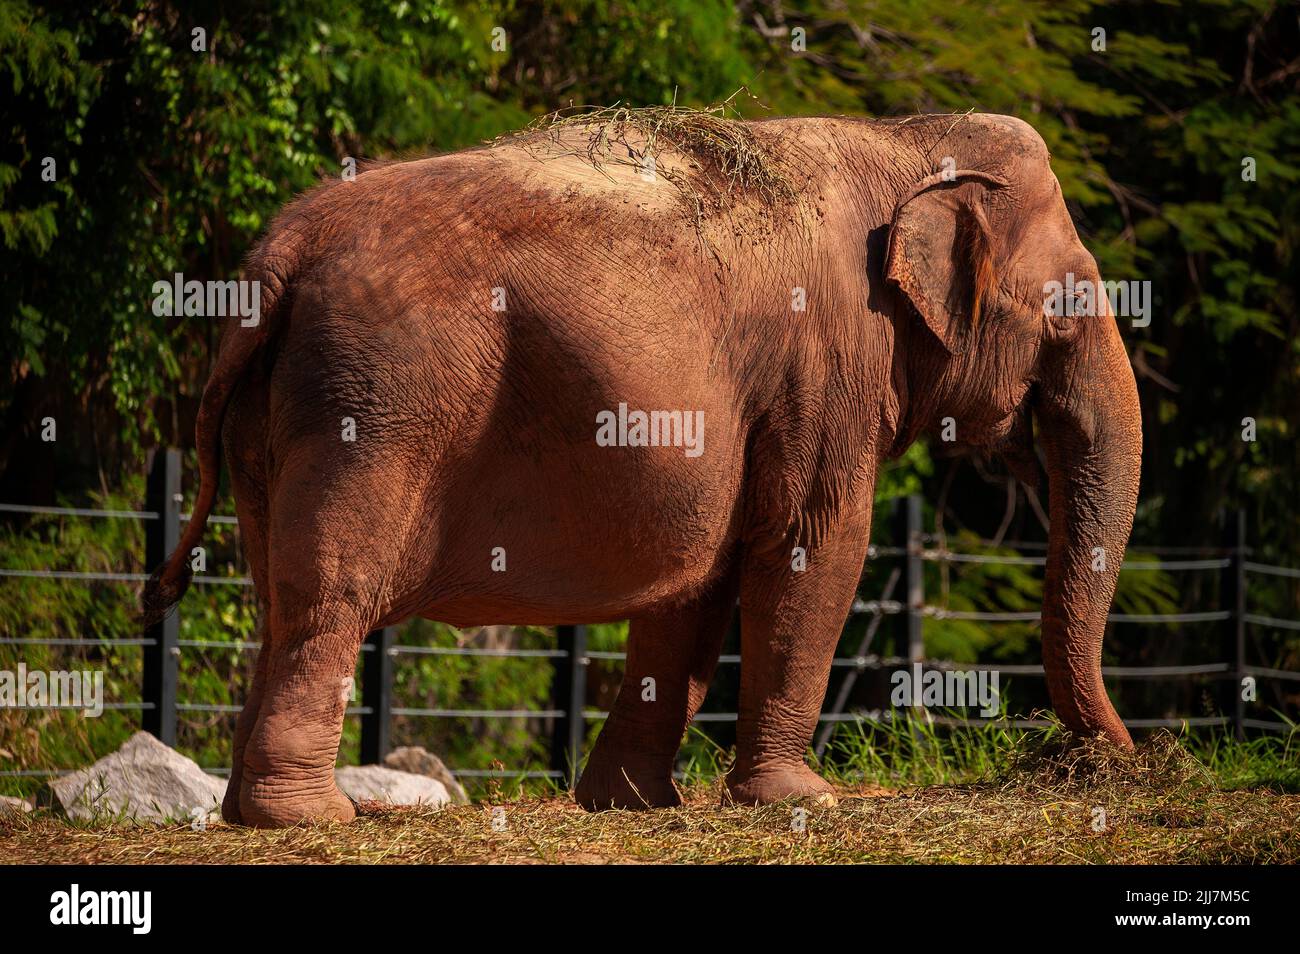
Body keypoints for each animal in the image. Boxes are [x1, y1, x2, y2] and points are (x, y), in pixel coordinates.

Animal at [142, 110, 1141, 826]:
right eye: (1063, 307)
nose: (1116, 761)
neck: (904, 140)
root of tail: (278, 255)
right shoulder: (833, 364)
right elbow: (817, 547)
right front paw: (802, 801)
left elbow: (695, 587)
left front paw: (628, 804)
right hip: (377, 401)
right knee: (329, 594)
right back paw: (311, 819)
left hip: (283, 403)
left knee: (275, 595)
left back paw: (246, 812)